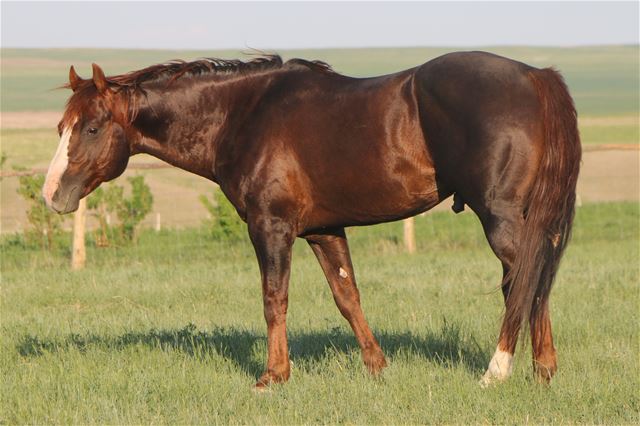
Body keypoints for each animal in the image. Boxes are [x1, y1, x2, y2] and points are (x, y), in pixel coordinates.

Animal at [42, 52, 581, 389]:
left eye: (92, 128)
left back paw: (499, 371)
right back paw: (543, 372)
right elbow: (347, 297)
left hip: (501, 219)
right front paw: (376, 367)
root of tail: (535, 76)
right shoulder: (324, 231)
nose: (52, 195)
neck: (243, 114)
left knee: (522, 282)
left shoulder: (271, 227)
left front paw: (273, 376)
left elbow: (274, 300)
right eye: (62, 126)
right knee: (536, 284)